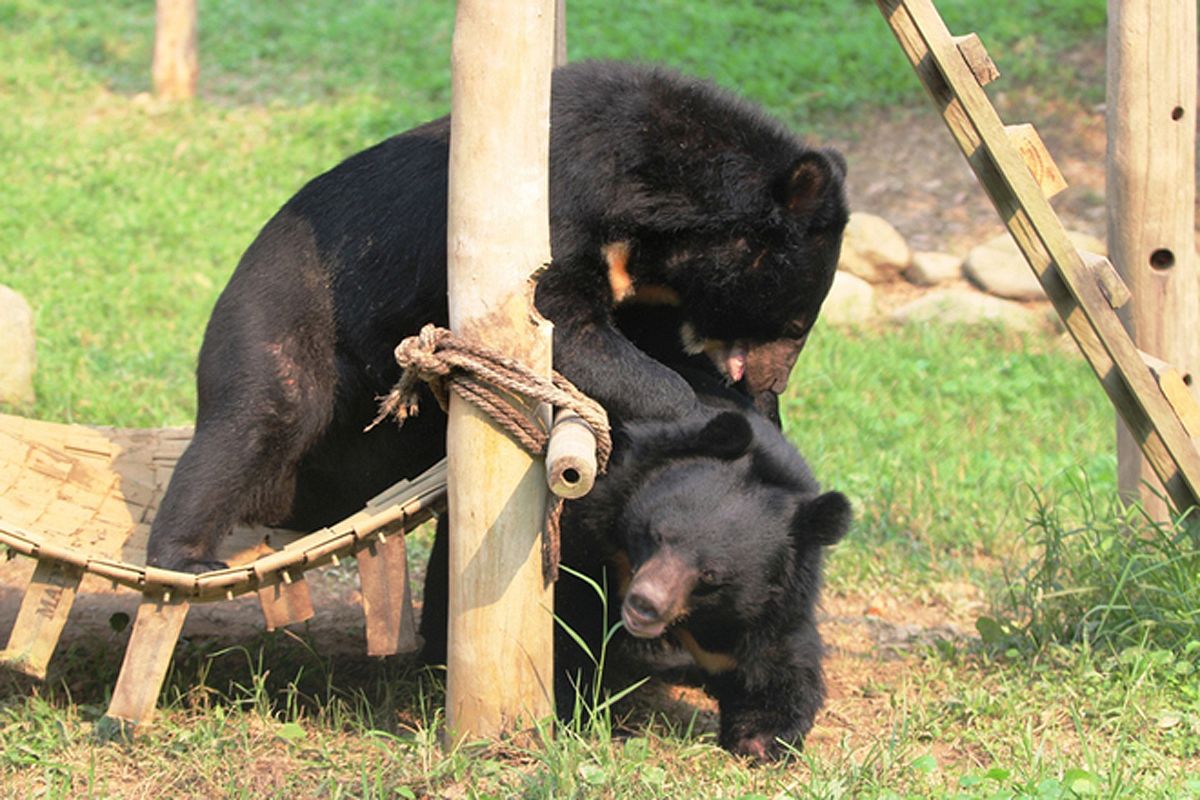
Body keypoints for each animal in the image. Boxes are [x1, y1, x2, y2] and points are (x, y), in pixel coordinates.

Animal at [145, 59, 848, 574]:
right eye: (794, 327)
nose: (774, 383)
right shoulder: (560, 199)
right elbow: (560, 320)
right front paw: (708, 415)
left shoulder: (648, 287)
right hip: (286, 311)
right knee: (256, 419)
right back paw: (188, 558)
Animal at [419, 367, 852, 761]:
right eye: (657, 535)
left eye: (711, 576)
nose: (645, 604)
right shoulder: (593, 523)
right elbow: (567, 614)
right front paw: (574, 708)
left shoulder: (760, 614)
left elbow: (774, 668)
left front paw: (761, 741)